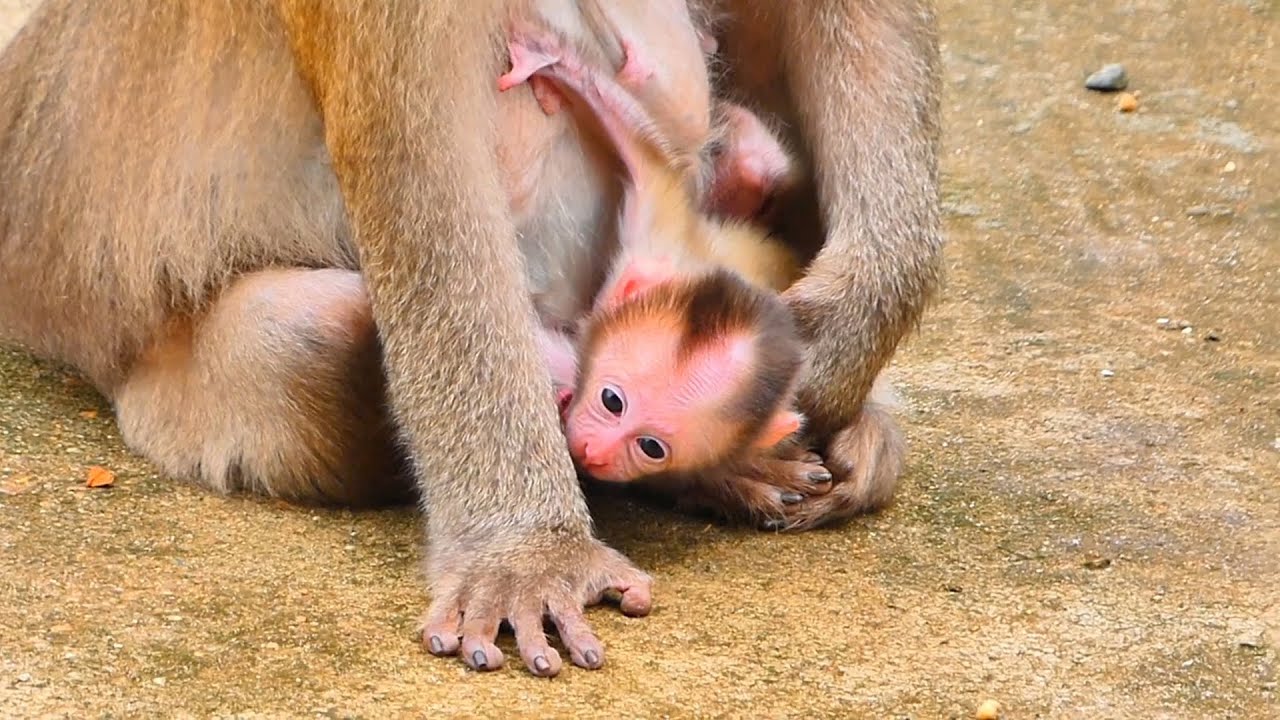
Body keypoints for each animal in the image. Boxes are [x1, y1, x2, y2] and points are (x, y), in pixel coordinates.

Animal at [0, 0, 941, 676]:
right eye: (615, 404)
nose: (609, 440)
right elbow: (418, 150)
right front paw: (527, 552)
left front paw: (843, 336)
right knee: (324, 338)